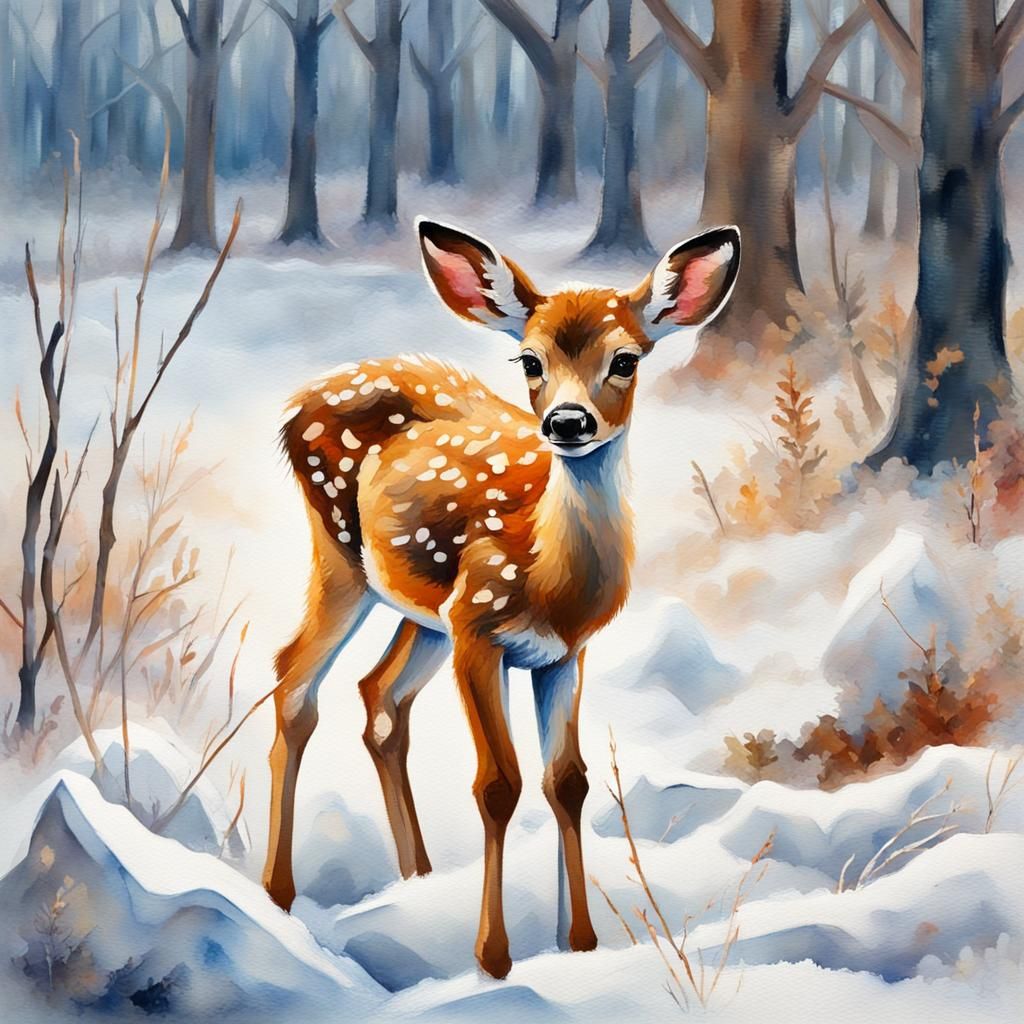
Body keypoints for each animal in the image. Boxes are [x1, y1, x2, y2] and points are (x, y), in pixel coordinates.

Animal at [262, 218, 740, 978]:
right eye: (529, 360)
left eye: (626, 359)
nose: (568, 422)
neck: (550, 579)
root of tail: (299, 397)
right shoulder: (479, 632)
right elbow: (498, 784)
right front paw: (493, 957)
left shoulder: (563, 654)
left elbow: (567, 781)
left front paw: (580, 943)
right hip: (342, 557)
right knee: (293, 682)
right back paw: (278, 894)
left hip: (422, 611)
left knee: (380, 698)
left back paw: (418, 879)